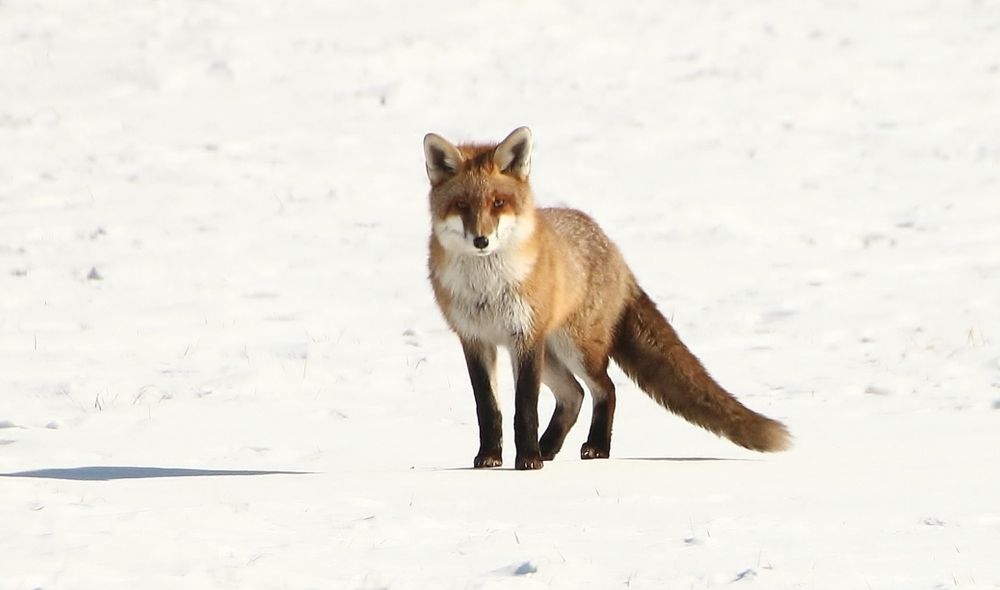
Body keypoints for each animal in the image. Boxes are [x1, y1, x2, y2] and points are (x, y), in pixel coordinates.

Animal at [424, 126, 790, 470]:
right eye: (461, 205)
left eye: (498, 203)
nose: (481, 241)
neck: (487, 288)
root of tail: (612, 247)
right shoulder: (475, 339)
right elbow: (488, 409)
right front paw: (489, 457)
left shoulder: (524, 337)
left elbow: (525, 408)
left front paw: (527, 460)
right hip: (553, 353)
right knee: (574, 395)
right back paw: (549, 447)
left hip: (575, 348)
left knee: (605, 389)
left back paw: (594, 447)